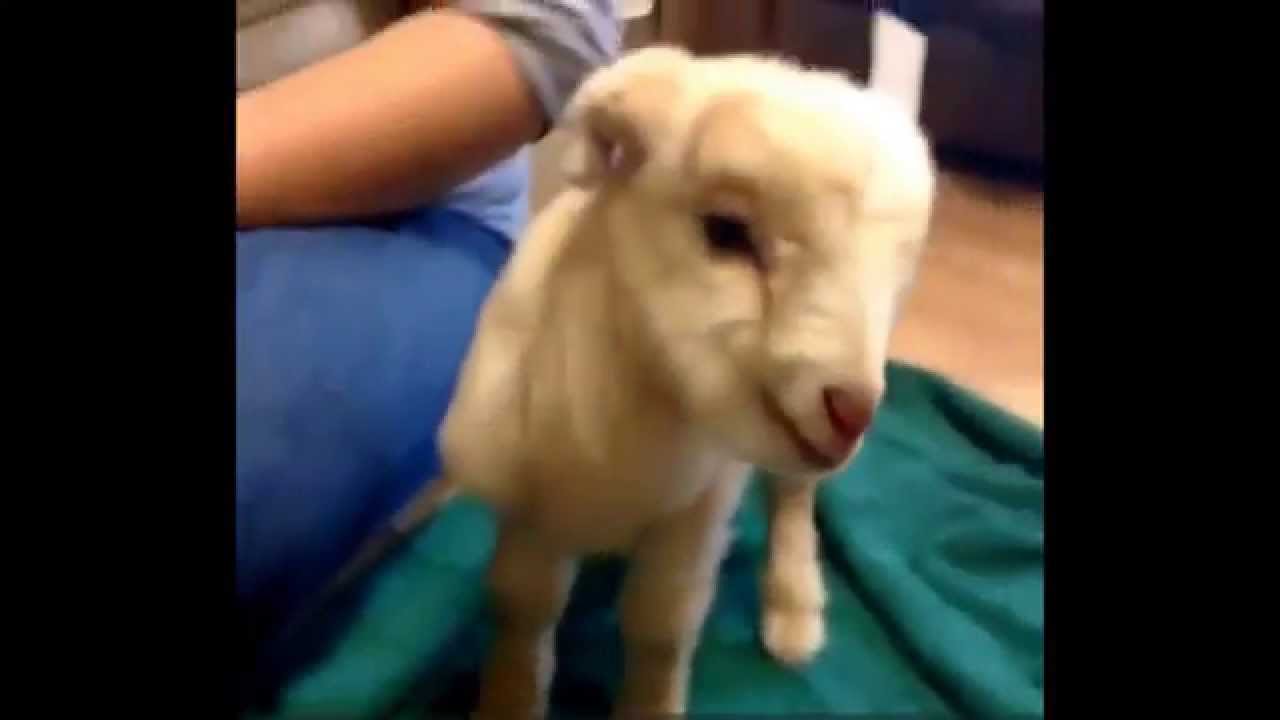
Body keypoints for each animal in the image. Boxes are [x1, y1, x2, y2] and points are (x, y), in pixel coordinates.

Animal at [429, 45, 936, 718]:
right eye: (726, 232)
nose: (852, 412)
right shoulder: (531, 514)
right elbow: (522, 609)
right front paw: (509, 700)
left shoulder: (692, 518)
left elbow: (660, 629)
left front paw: (650, 705)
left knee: (794, 496)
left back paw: (794, 612)